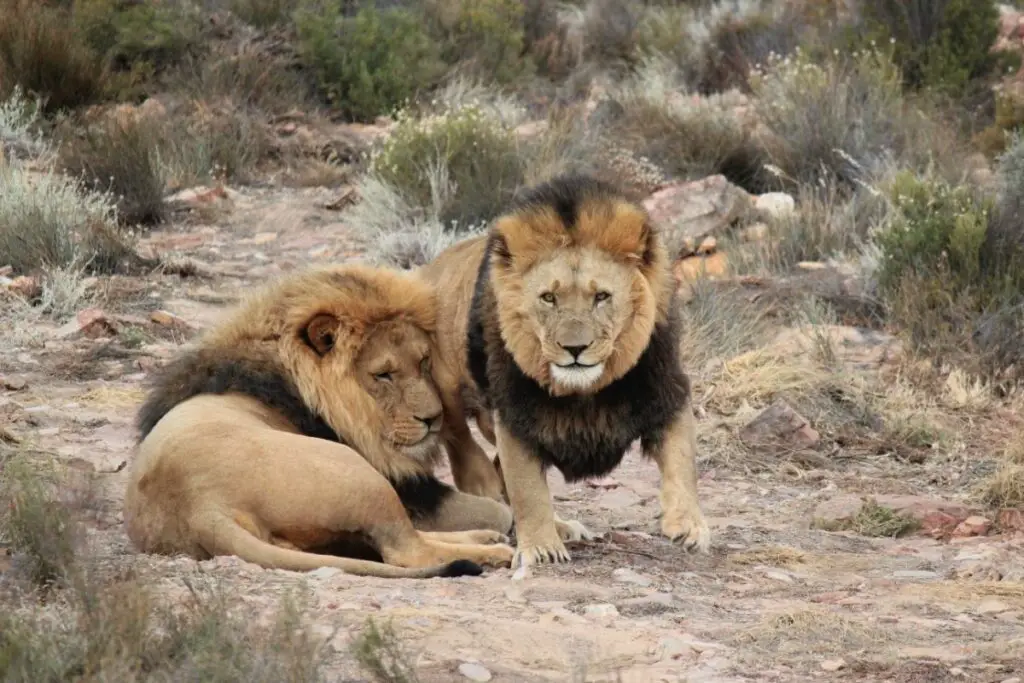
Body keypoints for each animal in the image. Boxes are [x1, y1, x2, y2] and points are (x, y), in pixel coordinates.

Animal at [123, 264, 515, 579]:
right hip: (359, 474)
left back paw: (484, 539)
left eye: (424, 362)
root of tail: (200, 506)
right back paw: (494, 551)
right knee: (406, 549)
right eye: (384, 375)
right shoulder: (411, 489)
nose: (433, 419)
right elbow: (494, 509)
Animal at [420, 174, 711, 569]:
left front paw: (688, 526)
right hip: (447, 394)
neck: (584, 392)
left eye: (601, 297)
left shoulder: (666, 394)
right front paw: (541, 547)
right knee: (467, 450)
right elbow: (527, 488)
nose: (575, 348)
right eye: (548, 298)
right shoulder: (515, 415)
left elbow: (682, 462)